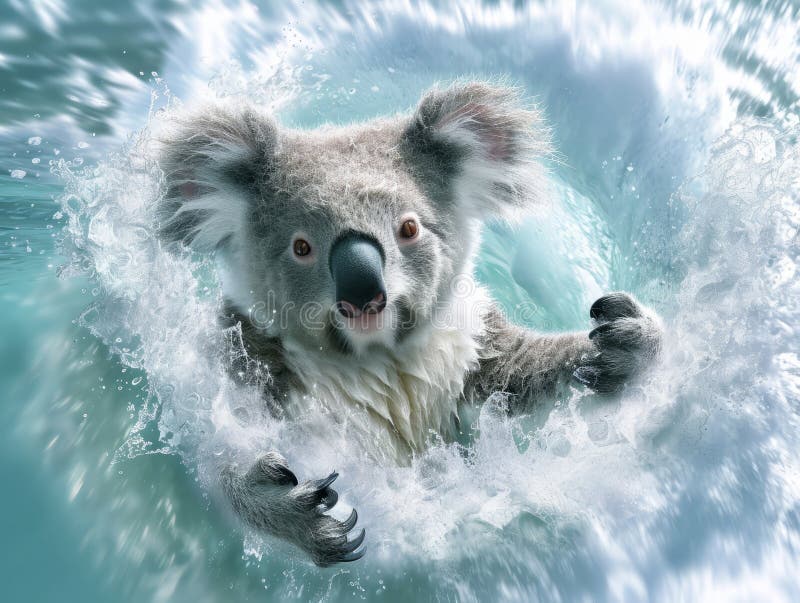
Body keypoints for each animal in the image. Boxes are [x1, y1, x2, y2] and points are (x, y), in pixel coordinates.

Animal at [157, 80, 662, 566]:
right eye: (301, 247)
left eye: (409, 228)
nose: (363, 293)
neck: (378, 360)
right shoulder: (250, 368)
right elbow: (220, 455)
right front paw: (286, 506)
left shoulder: (472, 355)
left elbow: (530, 392)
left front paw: (621, 345)